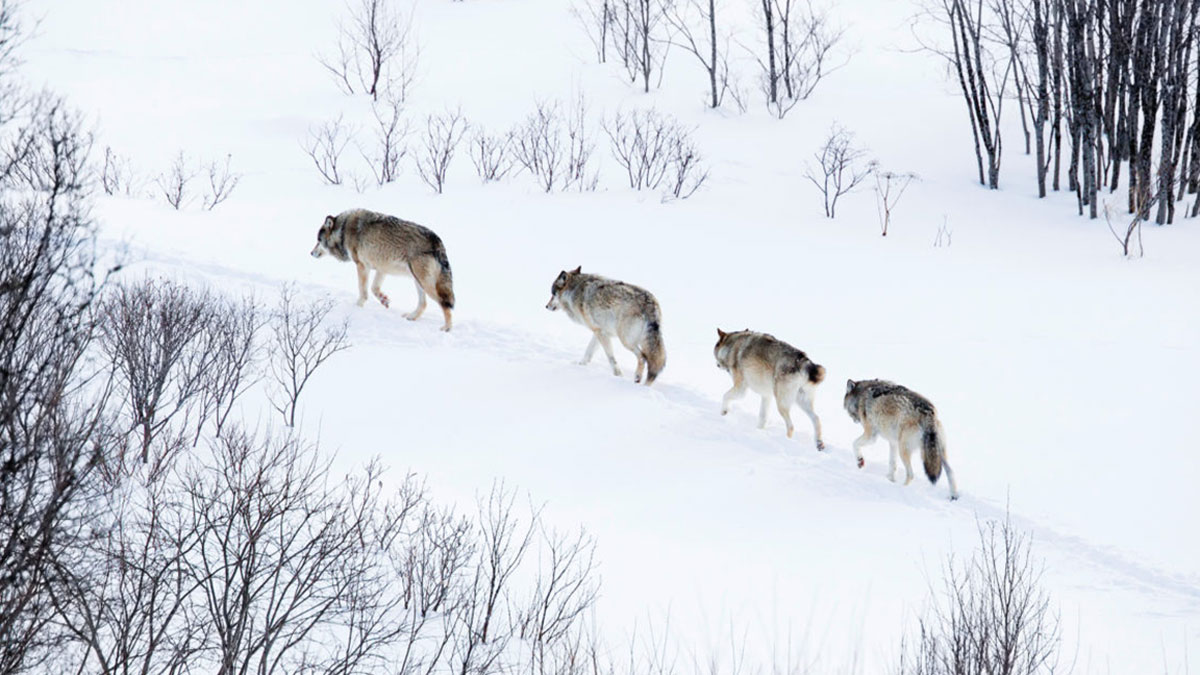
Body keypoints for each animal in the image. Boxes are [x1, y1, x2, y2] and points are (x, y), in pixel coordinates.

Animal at [311, 209, 455, 331]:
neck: (343, 230)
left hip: (424, 283)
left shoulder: (362, 266)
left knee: (444, 304)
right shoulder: (382, 269)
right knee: (424, 304)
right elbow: (374, 289)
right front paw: (384, 300)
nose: (311, 253)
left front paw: (357, 308)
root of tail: (437, 241)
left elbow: (363, 291)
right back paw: (411, 316)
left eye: (318, 240)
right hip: (418, 281)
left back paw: (446, 328)